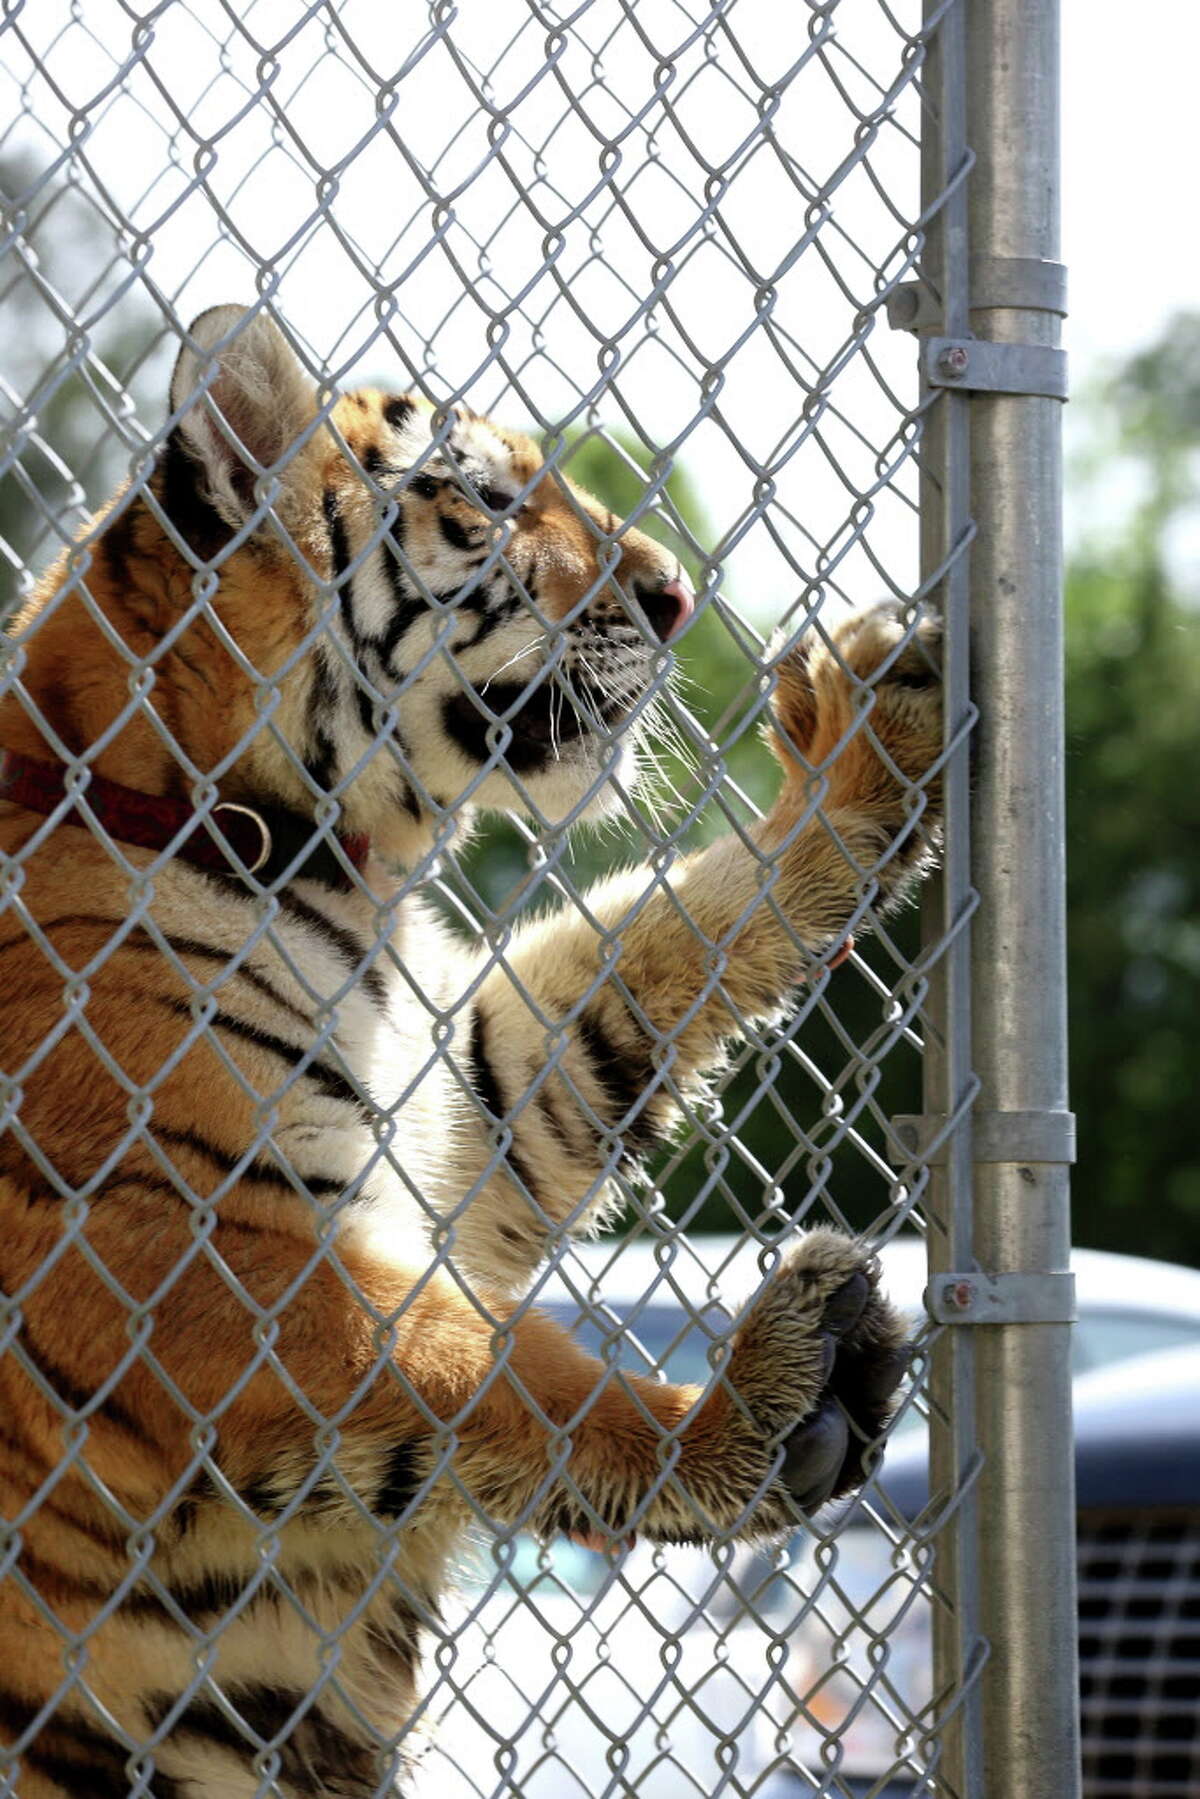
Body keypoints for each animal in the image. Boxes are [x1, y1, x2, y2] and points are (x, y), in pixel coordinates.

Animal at [0, 304, 942, 1798]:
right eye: (489, 501)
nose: (679, 594)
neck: (337, 868)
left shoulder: (483, 1080)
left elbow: (668, 927)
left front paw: (870, 750)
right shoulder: (173, 1246)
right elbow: (494, 1366)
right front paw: (753, 1412)